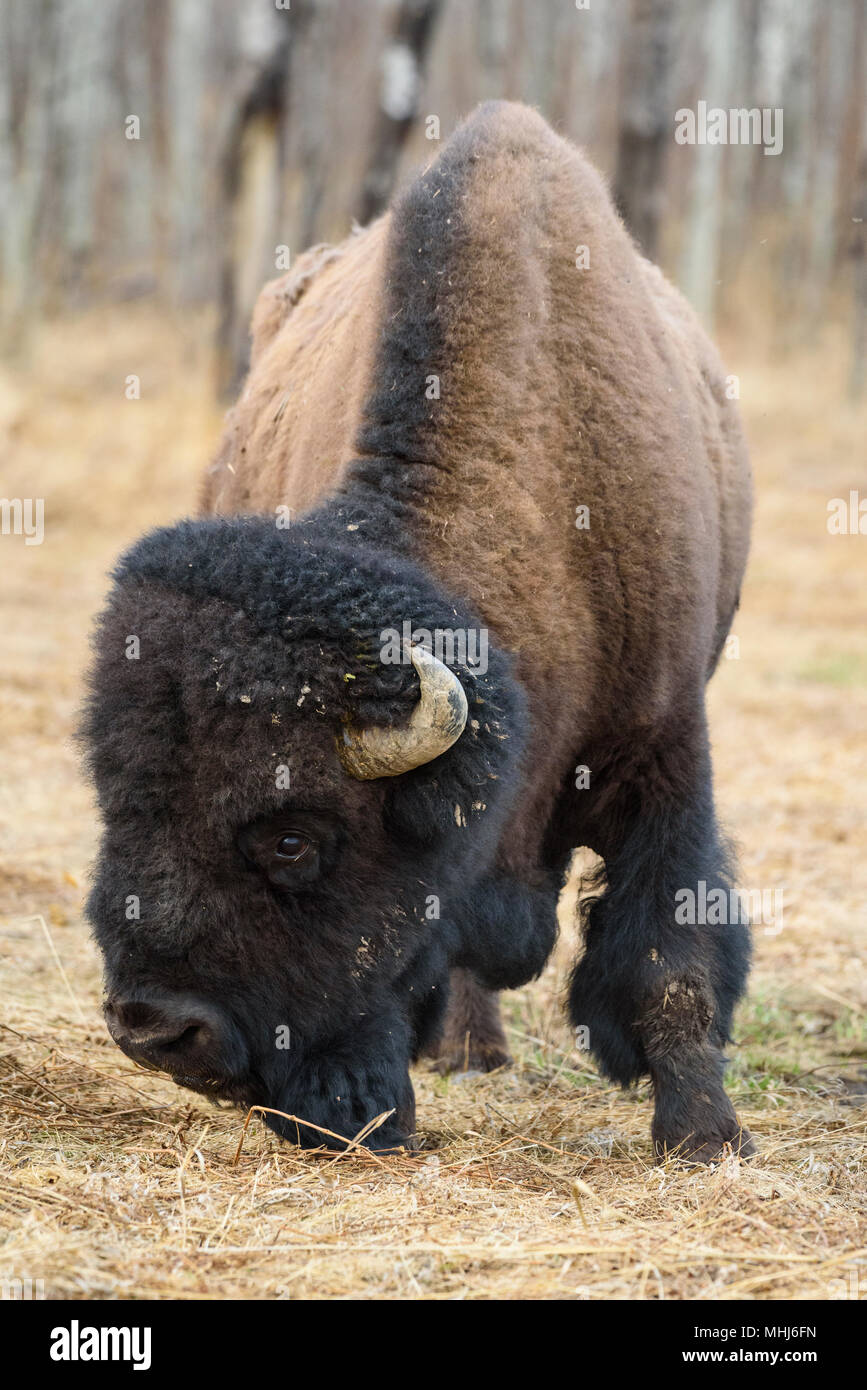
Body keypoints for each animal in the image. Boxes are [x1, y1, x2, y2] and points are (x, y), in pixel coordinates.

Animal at [83, 102, 754, 1162]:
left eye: (293, 840)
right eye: (115, 800)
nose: (155, 1029)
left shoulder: (664, 750)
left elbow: (667, 951)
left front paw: (706, 1138)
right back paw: (467, 1053)